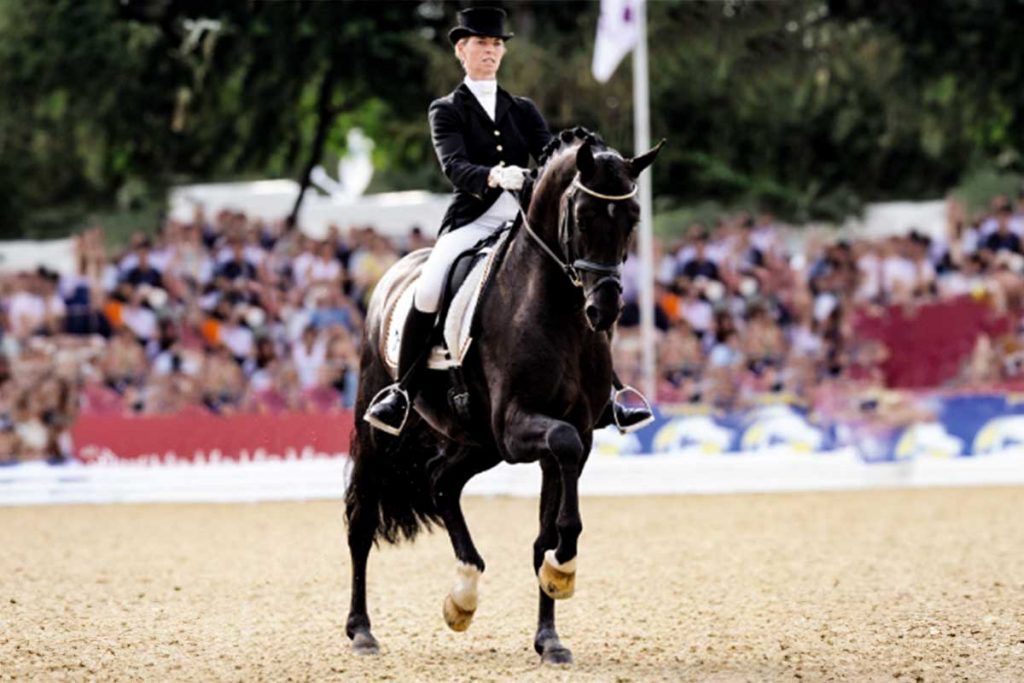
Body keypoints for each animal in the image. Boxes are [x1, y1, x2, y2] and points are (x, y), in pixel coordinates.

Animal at [344, 127, 662, 664]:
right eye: (582, 216)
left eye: (633, 218)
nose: (605, 310)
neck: (557, 310)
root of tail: (394, 274)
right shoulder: (520, 425)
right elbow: (561, 459)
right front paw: (563, 571)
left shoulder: (572, 433)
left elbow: (546, 532)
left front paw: (550, 630)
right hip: (383, 432)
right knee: (363, 522)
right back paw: (362, 631)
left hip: (478, 443)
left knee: (441, 484)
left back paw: (463, 596)